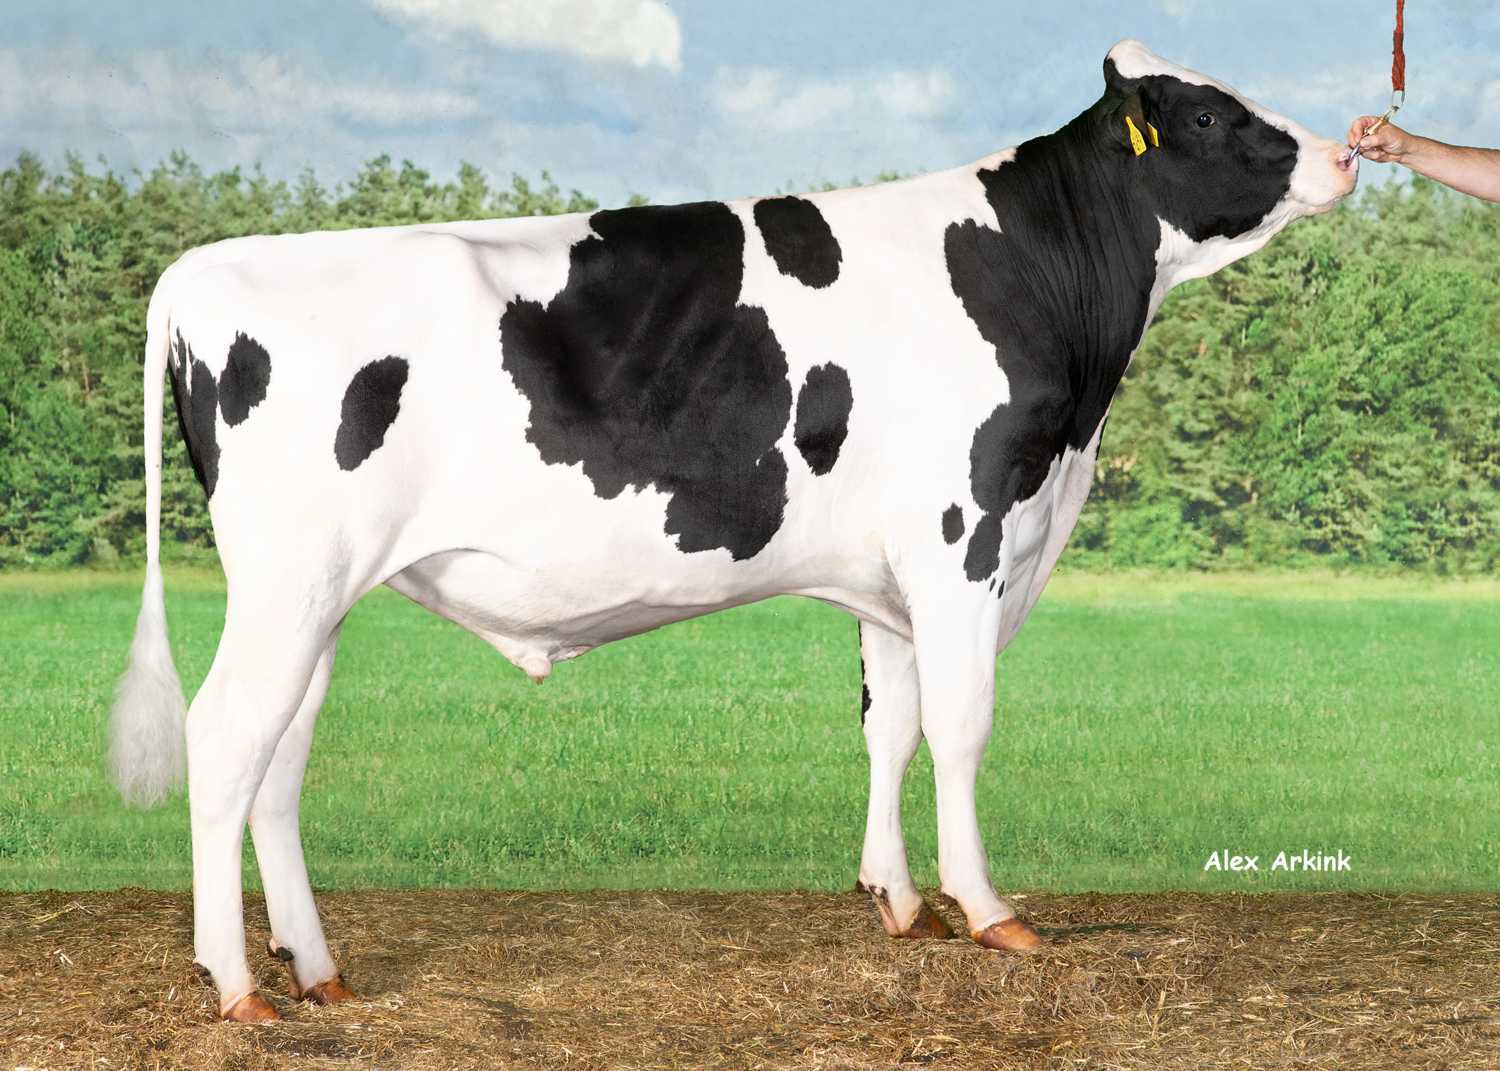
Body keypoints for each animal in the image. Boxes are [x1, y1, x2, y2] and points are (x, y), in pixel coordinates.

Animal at [108, 40, 1357, 1021]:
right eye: (1211, 115)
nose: (1347, 153)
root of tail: (210, 266)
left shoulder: (890, 573)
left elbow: (890, 727)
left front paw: (899, 903)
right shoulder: (966, 536)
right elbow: (961, 728)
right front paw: (988, 910)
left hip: (317, 594)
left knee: (279, 759)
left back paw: (316, 970)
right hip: (289, 582)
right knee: (224, 739)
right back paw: (236, 985)